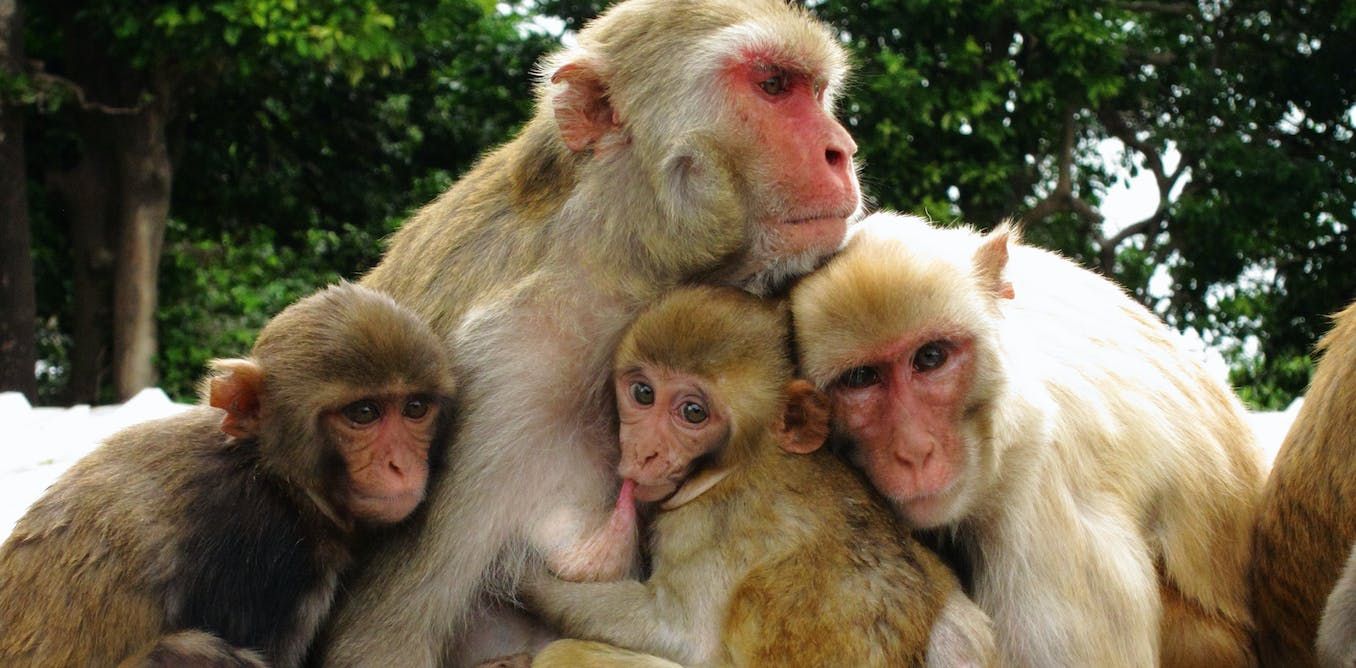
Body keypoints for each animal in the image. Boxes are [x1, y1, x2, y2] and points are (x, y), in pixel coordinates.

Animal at [322, 0, 861, 663]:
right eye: (773, 85)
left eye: (816, 91)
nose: (842, 149)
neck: (620, 263)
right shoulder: (499, 378)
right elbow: (385, 637)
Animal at [520, 286, 996, 667]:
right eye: (642, 393)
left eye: (693, 412)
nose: (643, 452)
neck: (746, 461)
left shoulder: (709, 525)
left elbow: (679, 634)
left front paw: (523, 580)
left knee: (561, 653)